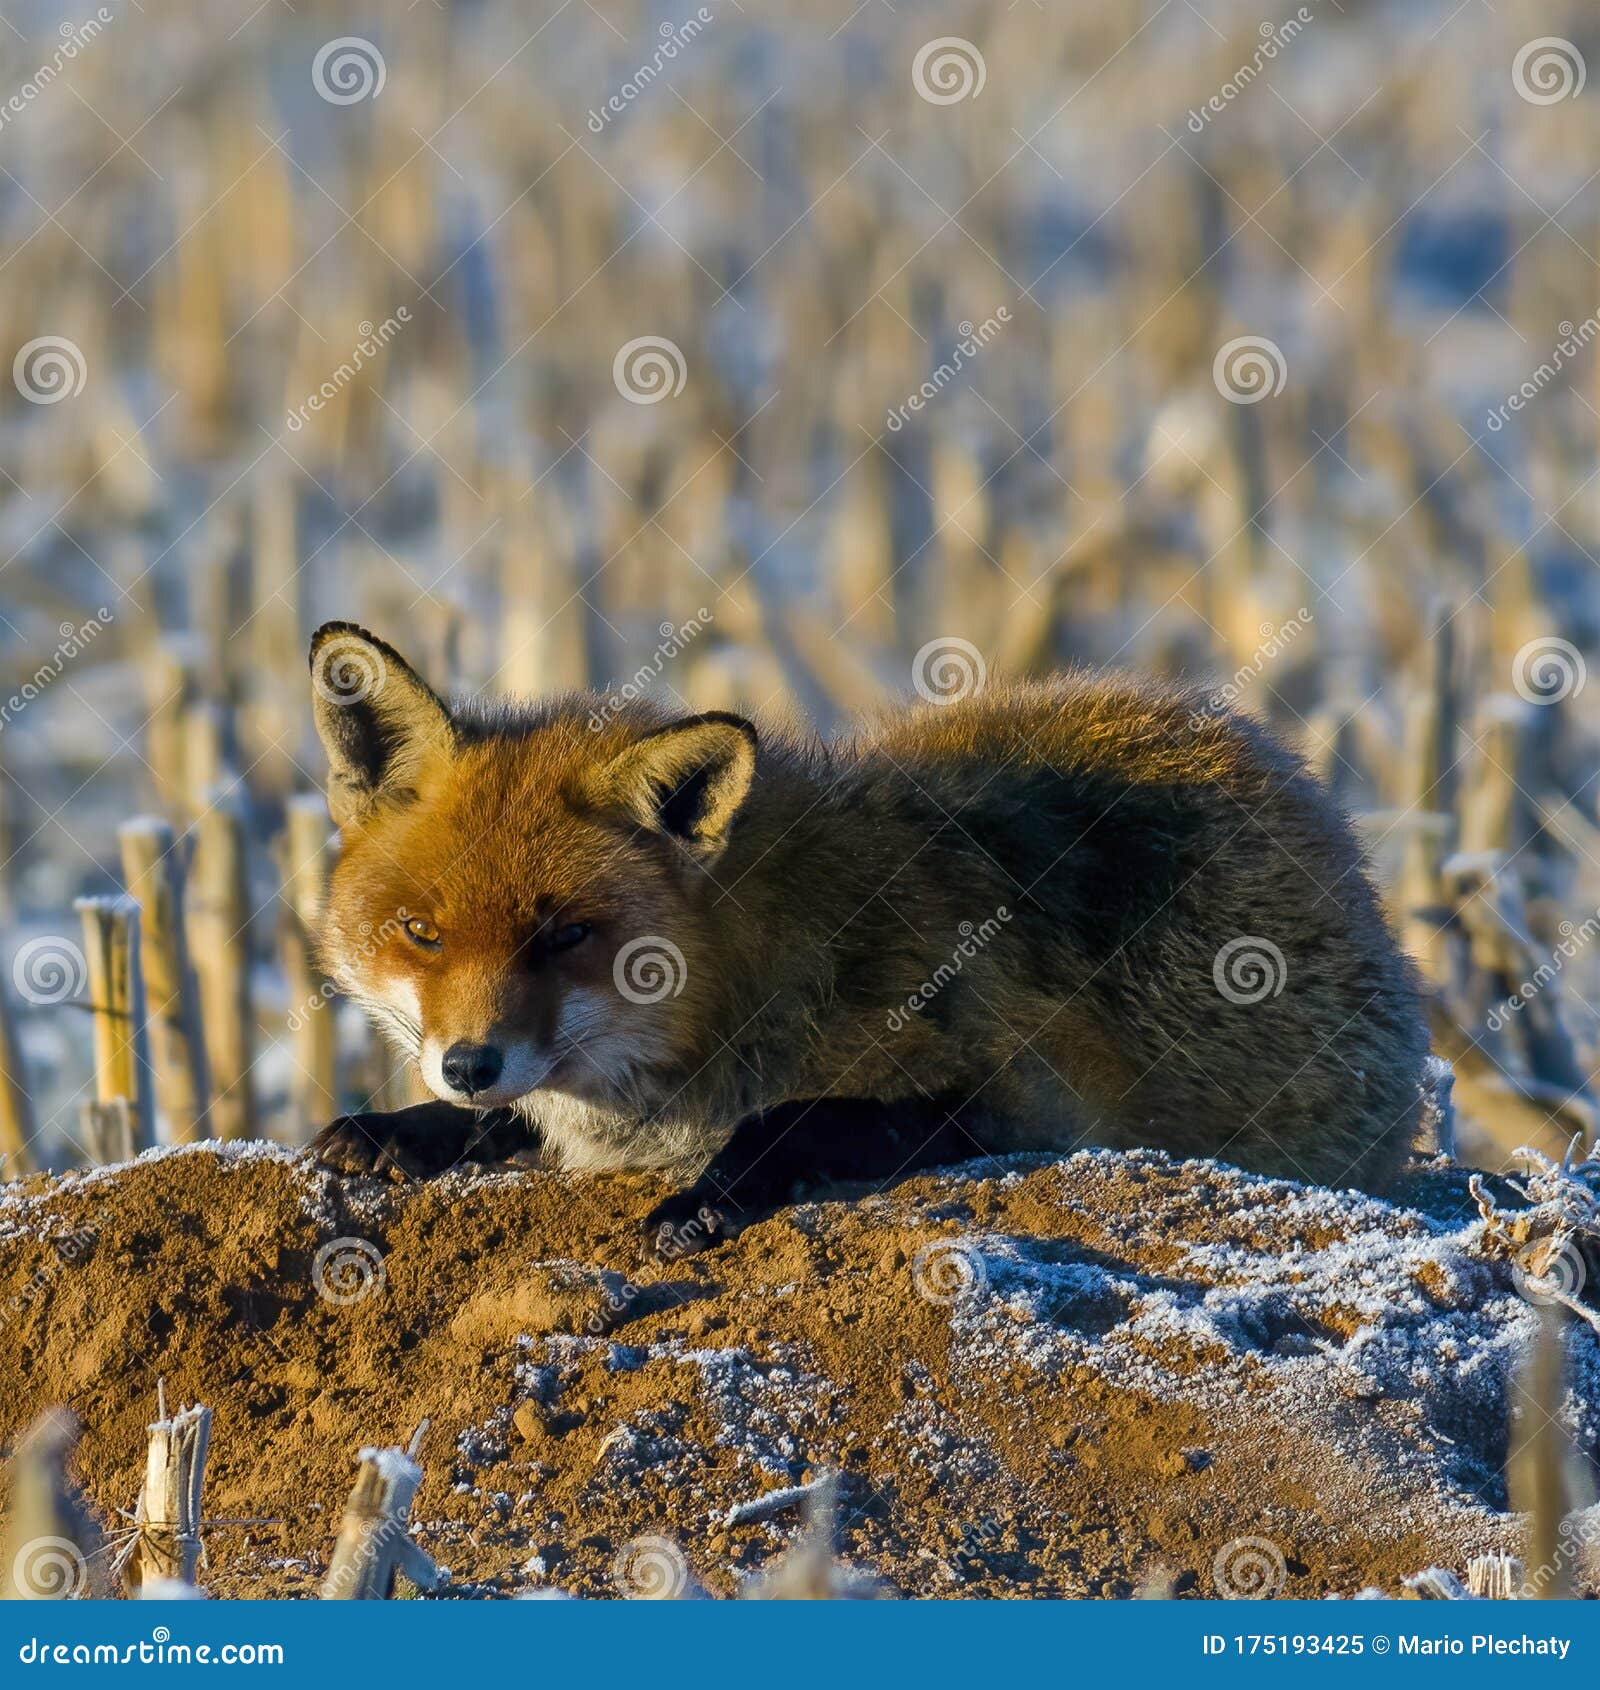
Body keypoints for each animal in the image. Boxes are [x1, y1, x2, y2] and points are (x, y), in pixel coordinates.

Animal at [306, 621, 1430, 1255]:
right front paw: (402, 1127)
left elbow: (792, 1120)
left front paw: (708, 1200)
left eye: (567, 934)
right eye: (418, 932)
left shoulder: (1022, 1096)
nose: (469, 1061)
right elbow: (503, 1126)